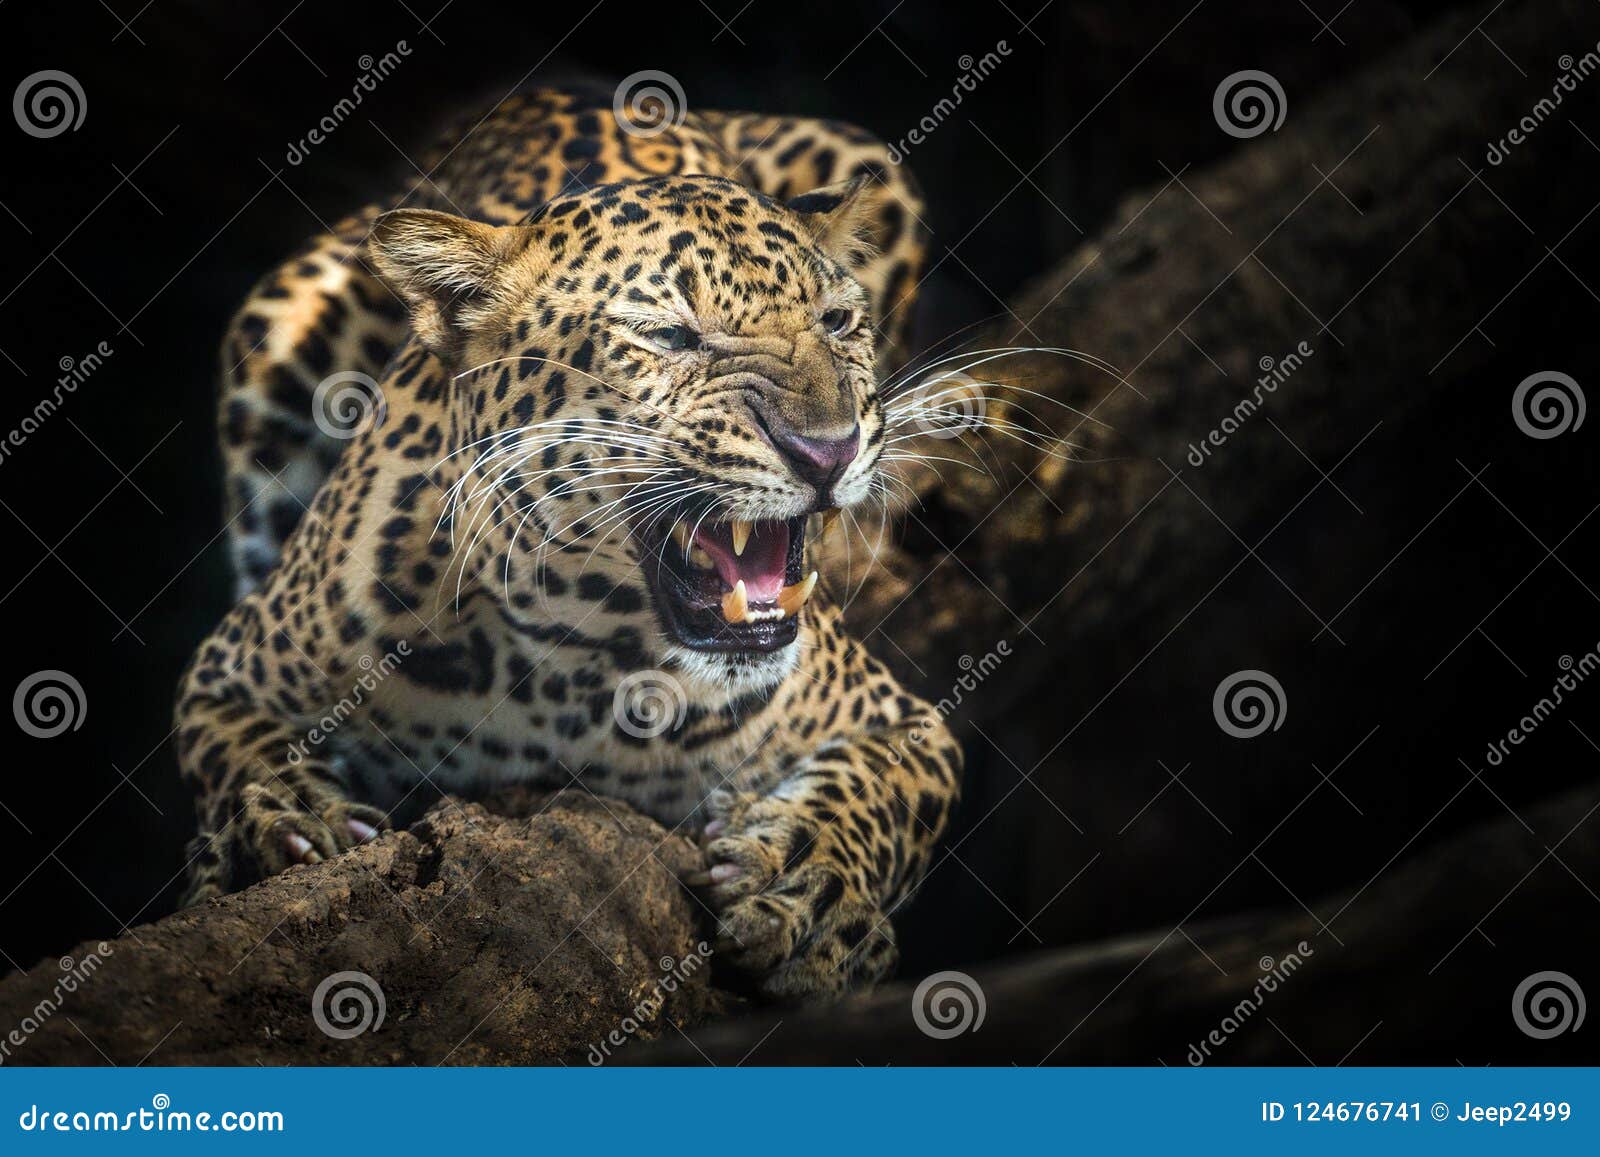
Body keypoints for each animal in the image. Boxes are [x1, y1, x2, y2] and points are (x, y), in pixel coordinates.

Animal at [177, 85, 962, 1000]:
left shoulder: (901, 722)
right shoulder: (227, 671)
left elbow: (890, 796)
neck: (584, 651)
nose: (830, 449)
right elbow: (237, 755)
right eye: (668, 336)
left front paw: (814, 890)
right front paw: (296, 819)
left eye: (838, 321)